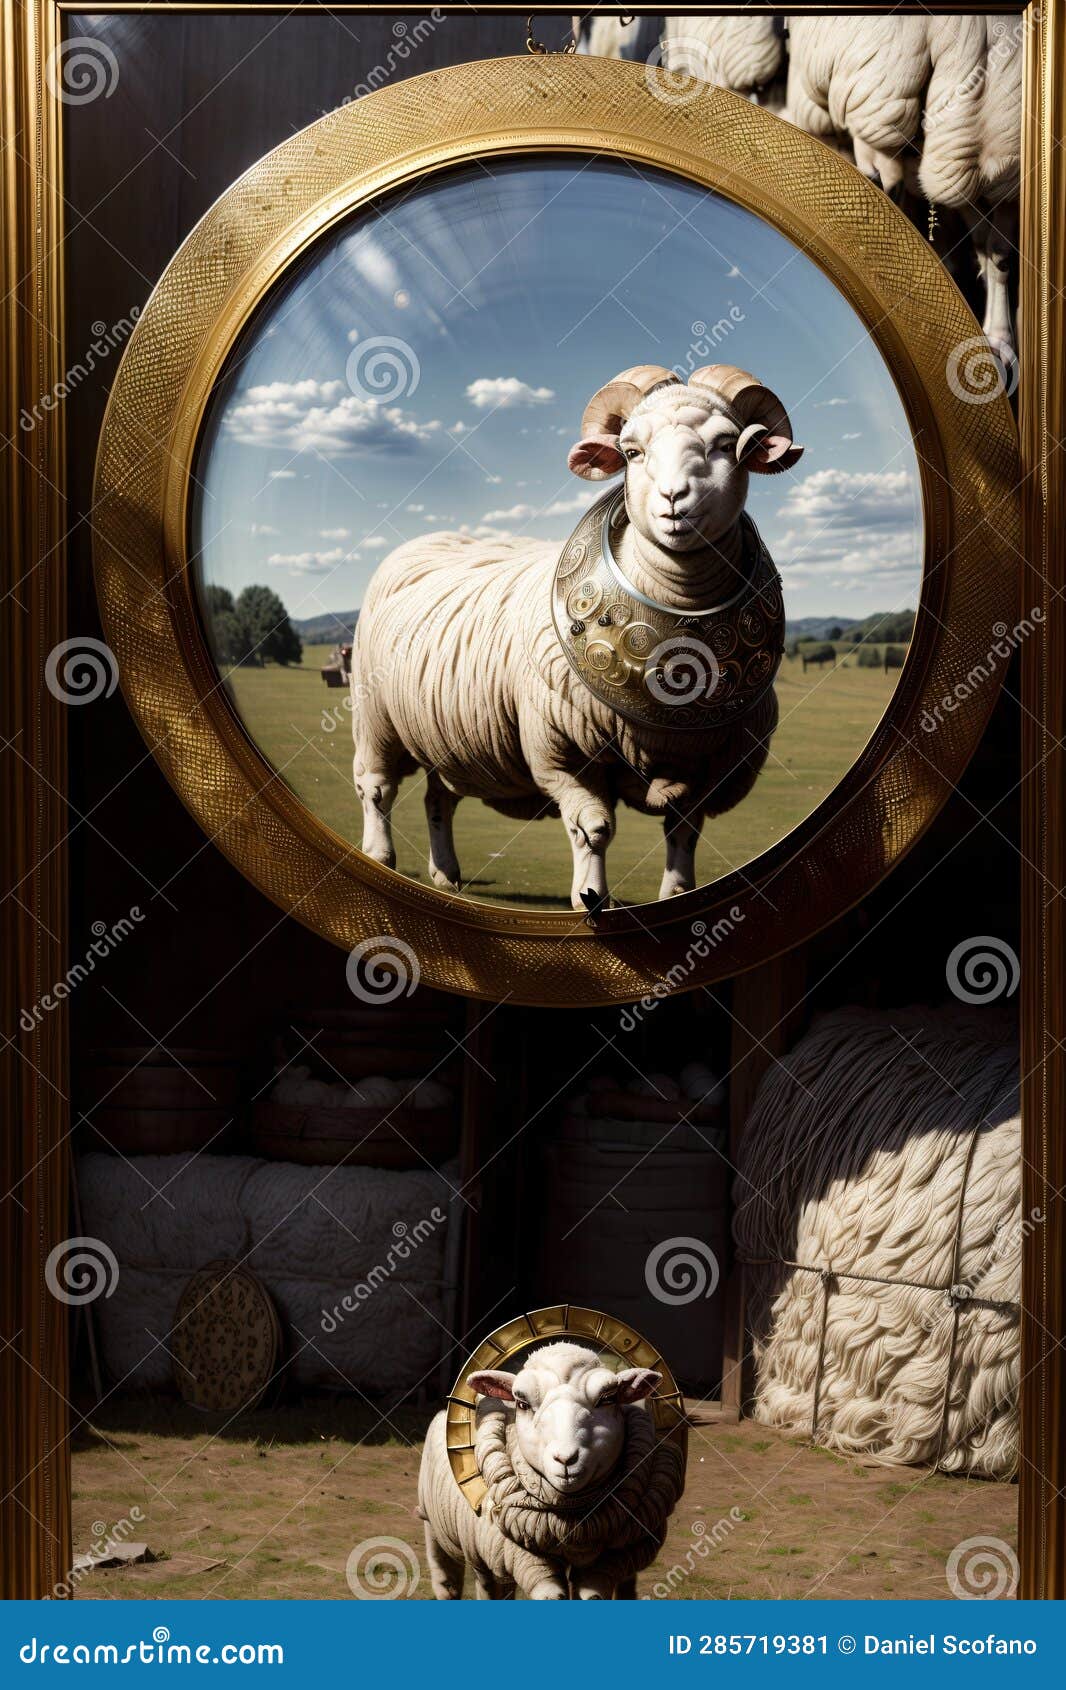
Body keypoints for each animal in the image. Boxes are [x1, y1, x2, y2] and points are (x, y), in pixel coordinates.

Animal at [351, 364, 802, 910]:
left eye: (725, 444)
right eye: (632, 451)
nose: (675, 500)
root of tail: (431, 539)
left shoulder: (711, 767)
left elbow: (685, 831)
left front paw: (676, 891)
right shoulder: (563, 751)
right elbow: (594, 829)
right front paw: (591, 896)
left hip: (449, 734)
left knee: (440, 798)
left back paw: (446, 874)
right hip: (375, 715)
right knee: (377, 788)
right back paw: (380, 857)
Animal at [416, 1340, 685, 1598]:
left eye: (608, 1399)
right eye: (522, 1403)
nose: (566, 1459)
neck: (570, 1525)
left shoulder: (607, 1560)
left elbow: (593, 1596)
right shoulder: (526, 1560)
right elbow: (550, 1596)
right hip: (448, 1532)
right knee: (457, 1583)